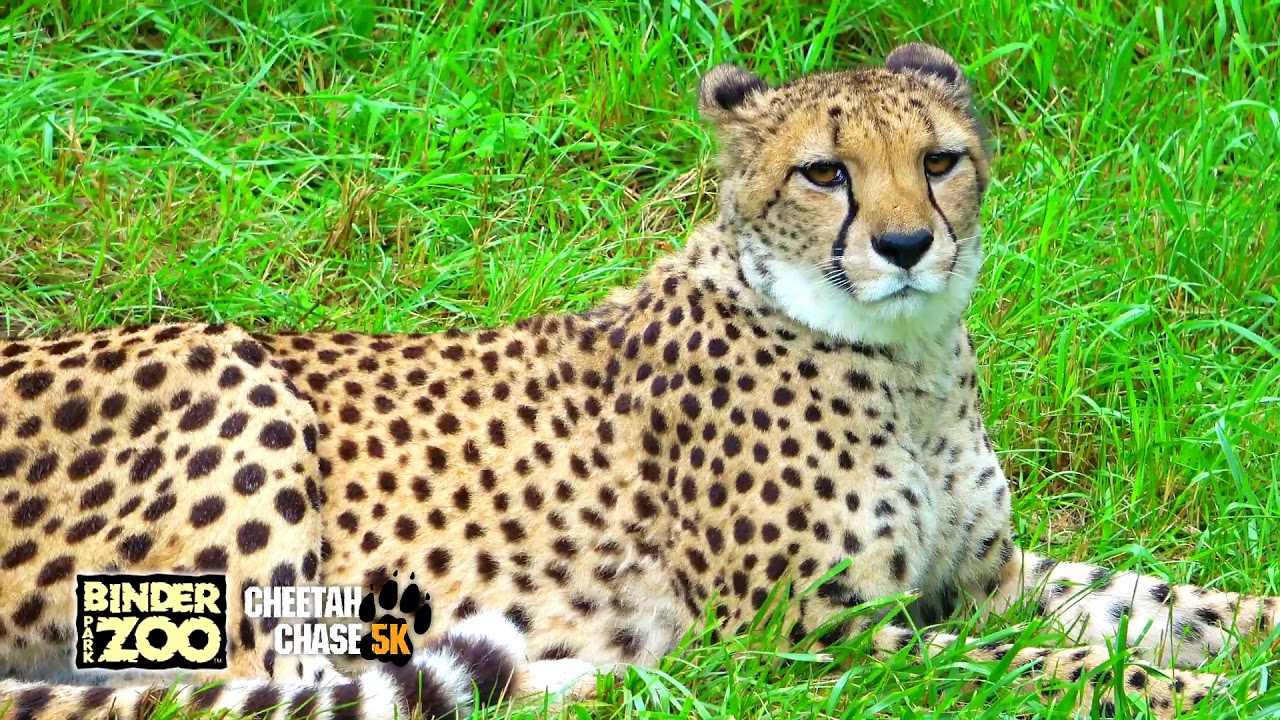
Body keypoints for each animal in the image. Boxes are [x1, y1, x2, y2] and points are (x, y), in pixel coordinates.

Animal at [2, 43, 1277, 720]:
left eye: (939, 160)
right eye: (823, 173)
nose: (908, 245)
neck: (905, 363)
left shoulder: (983, 580)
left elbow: (1156, 601)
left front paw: (1246, 635)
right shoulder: (809, 636)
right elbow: (1036, 668)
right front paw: (1190, 695)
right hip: (231, 374)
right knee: (273, 694)